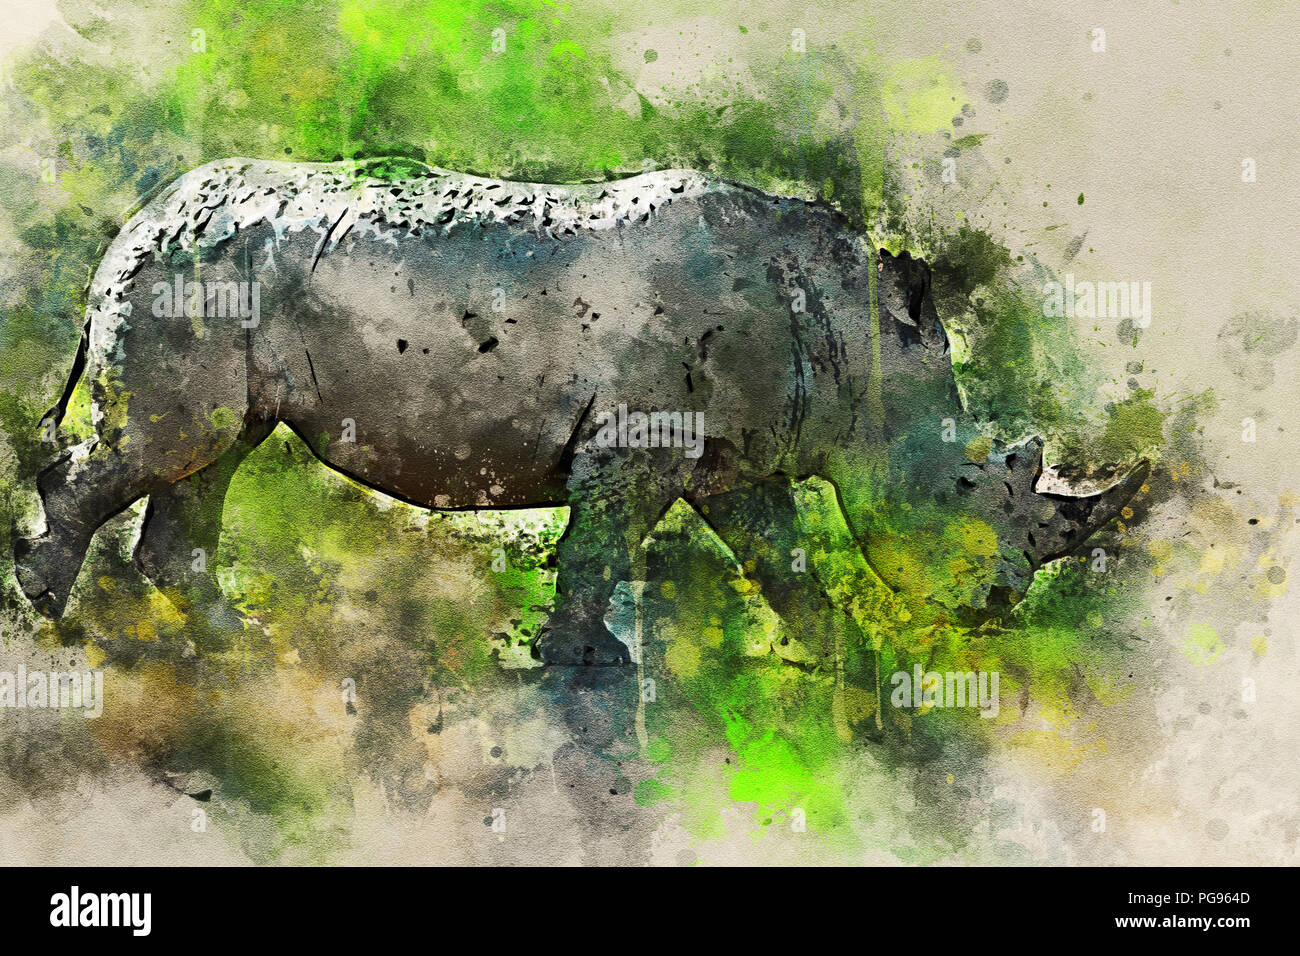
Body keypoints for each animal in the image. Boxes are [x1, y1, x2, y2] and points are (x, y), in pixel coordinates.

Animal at [14, 158, 1146, 664]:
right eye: (971, 482)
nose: (998, 609)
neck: (858, 355)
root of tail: (135, 217)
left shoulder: (733, 454)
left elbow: (777, 555)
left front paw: (841, 655)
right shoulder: (638, 446)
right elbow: (602, 546)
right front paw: (584, 663)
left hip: (213, 276)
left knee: (212, 454)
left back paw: (234, 638)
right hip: (187, 273)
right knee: (176, 446)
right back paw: (47, 608)